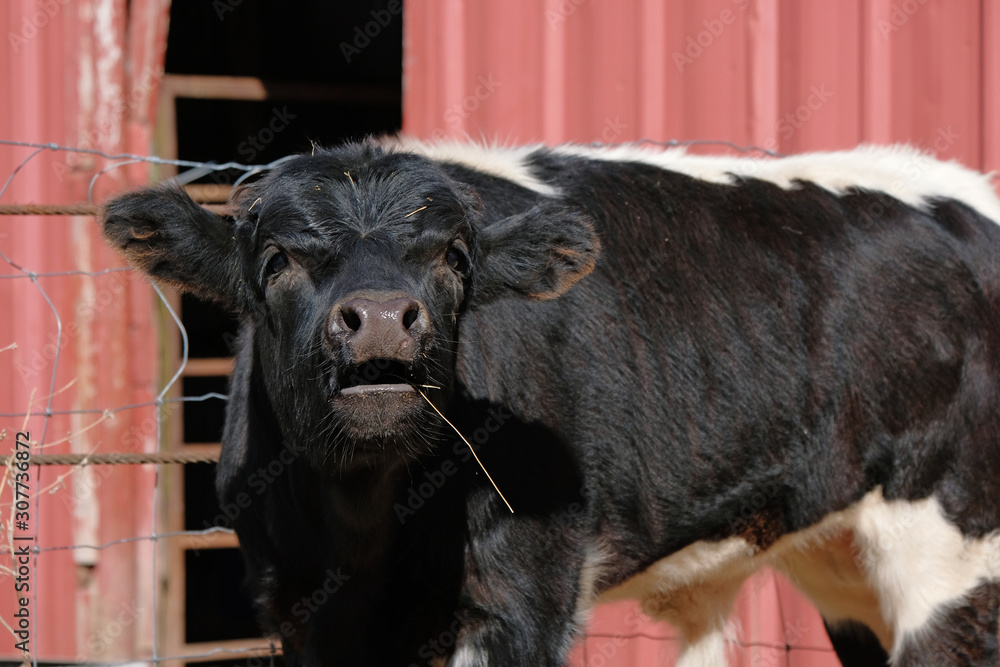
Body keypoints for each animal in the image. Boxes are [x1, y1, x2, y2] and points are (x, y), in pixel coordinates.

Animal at [102, 138, 1000, 667]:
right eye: (278, 258)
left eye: (455, 257)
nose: (384, 317)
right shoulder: (297, 607)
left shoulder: (524, 593)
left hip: (957, 547)